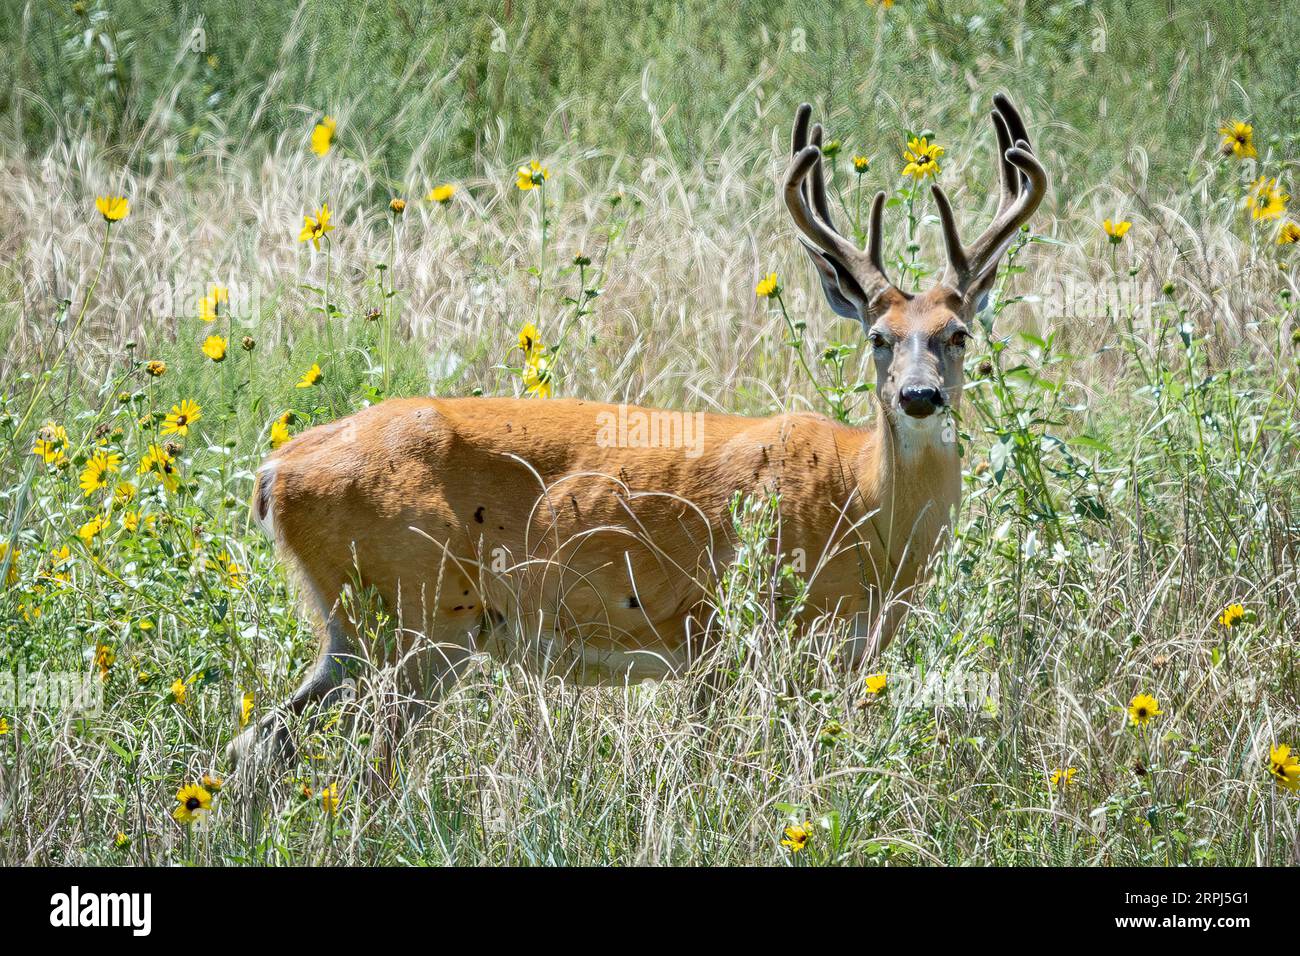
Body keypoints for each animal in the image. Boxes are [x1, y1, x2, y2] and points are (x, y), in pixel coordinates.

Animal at [227, 93, 1047, 766]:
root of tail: (275, 473)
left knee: (259, 742)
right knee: (366, 759)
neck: (864, 505)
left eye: (958, 334)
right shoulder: (731, 631)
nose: (918, 395)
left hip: (363, 627)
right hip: (420, 613)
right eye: (879, 336)